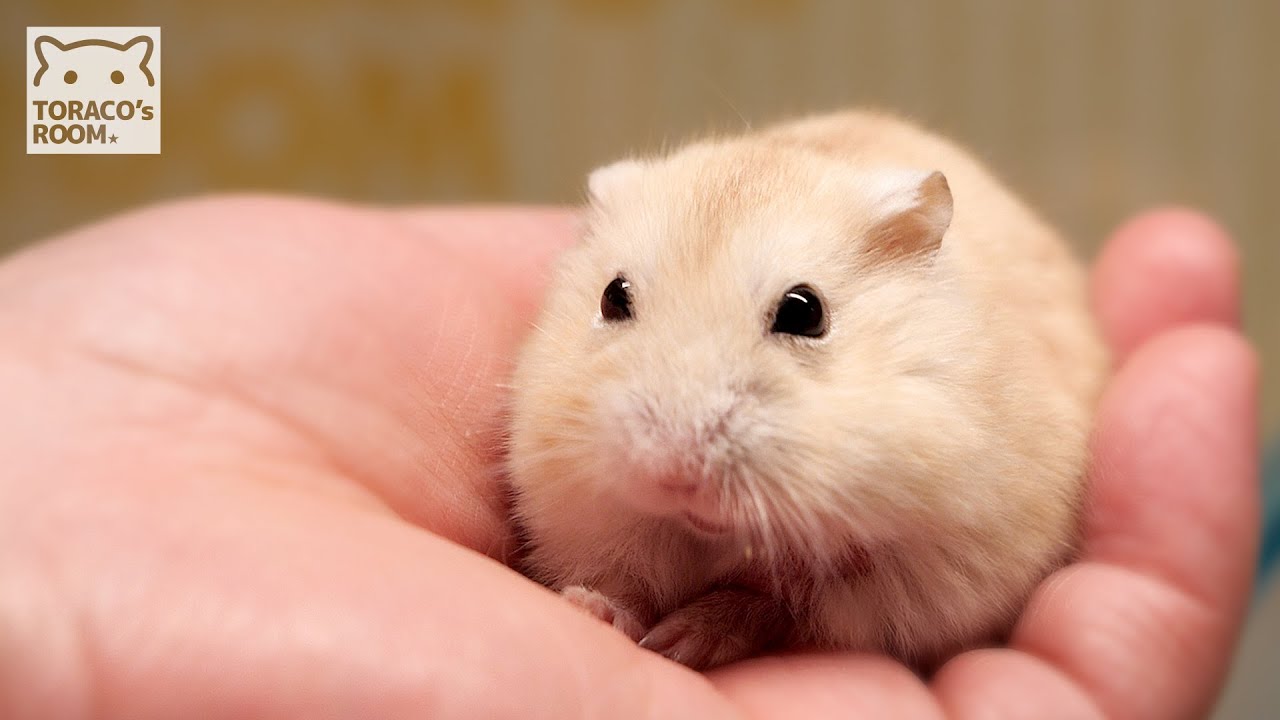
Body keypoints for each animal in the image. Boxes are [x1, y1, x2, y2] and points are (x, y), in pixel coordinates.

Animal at [507, 110, 1108, 670]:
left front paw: (683, 639)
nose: (672, 473)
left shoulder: (929, 574)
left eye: (804, 311)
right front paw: (592, 608)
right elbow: (625, 582)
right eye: (613, 297)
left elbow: (774, 601)